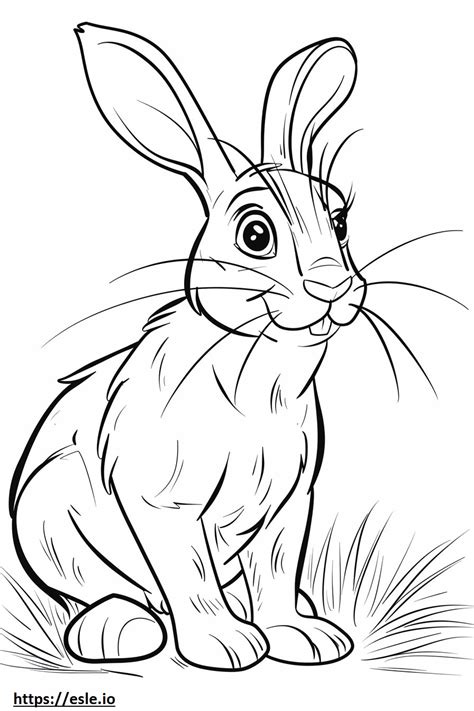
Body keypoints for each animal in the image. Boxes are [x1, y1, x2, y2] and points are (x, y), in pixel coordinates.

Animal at [9, 22, 367, 671]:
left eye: (340, 220)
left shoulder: (290, 503)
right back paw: (117, 630)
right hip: (48, 514)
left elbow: (277, 572)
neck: (258, 382)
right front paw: (227, 647)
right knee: (106, 589)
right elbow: (190, 575)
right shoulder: (164, 504)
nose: (332, 285)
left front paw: (301, 638)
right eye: (255, 234)